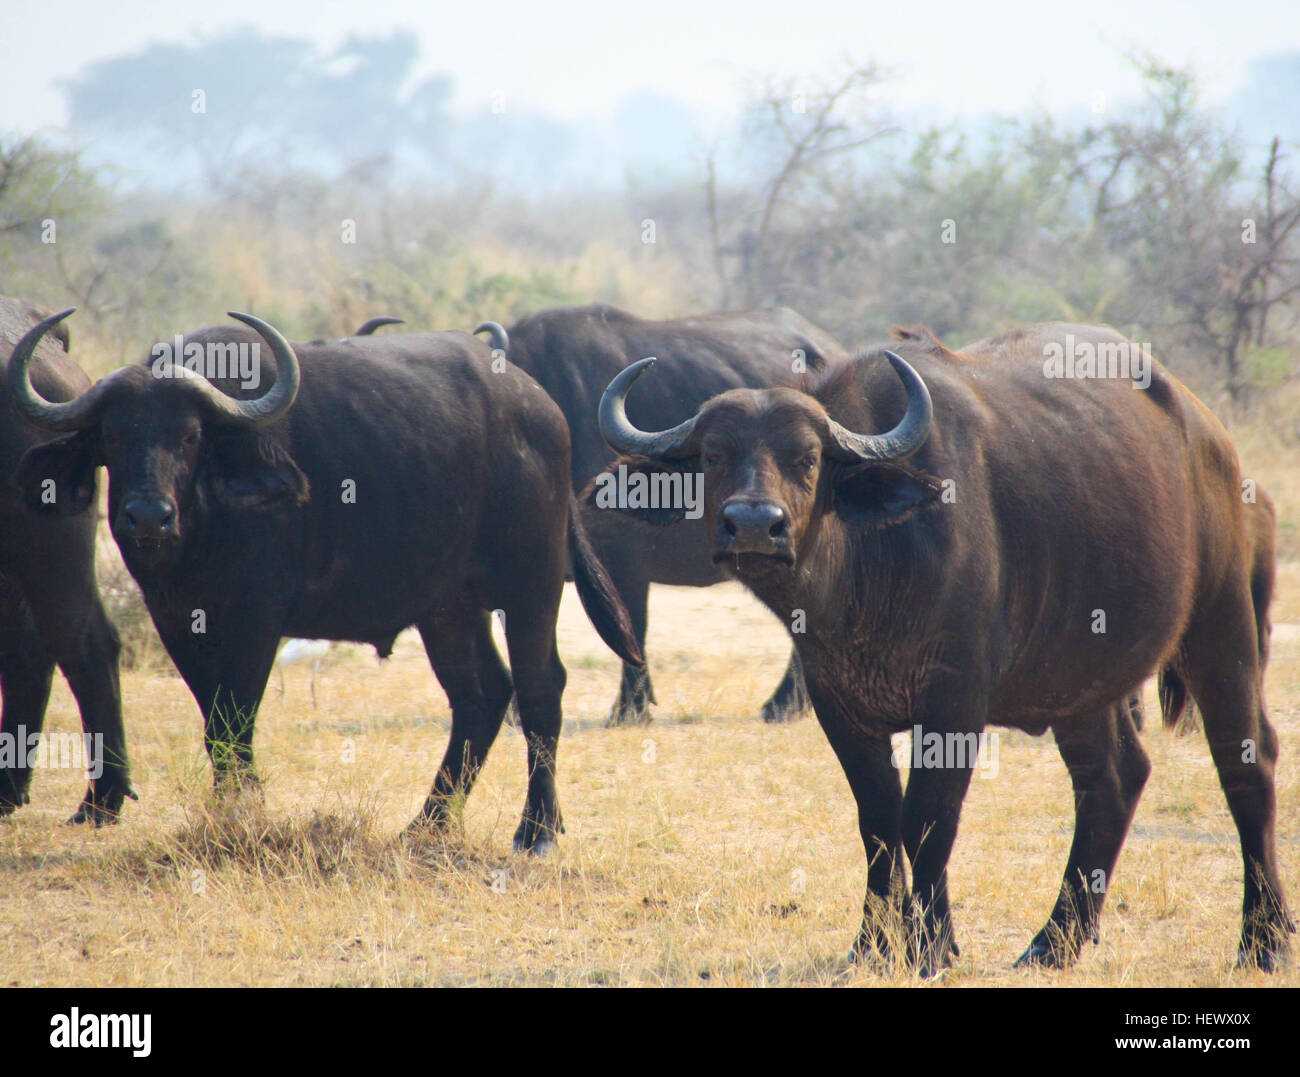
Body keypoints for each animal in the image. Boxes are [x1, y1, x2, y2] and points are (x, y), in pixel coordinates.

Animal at [9, 310, 642, 853]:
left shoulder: (258, 617)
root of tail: (542, 409)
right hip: (448, 607)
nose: (146, 516)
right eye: (113, 437)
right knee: (481, 693)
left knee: (540, 688)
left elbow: (234, 717)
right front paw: (235, 806)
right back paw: (427, 824)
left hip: (531, 584)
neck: (205, 520)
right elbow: (214, 715)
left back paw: (536, 831)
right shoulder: (173, 616)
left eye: (188, 436)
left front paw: (243, 813)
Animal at [592, 322, 1292, 972]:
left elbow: (929, 815)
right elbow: (879, 818)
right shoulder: (837, 703)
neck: (870, 573)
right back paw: (1055, 942)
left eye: (807, 459)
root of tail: (1210, 437)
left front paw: (929, 946)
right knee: (1114, 776)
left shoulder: (955, 700)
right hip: (1080, 682)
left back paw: (1264, 940)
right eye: (713, 455)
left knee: (1246, 764)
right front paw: (875, 945)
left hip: (1222, 622)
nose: (754, 526)